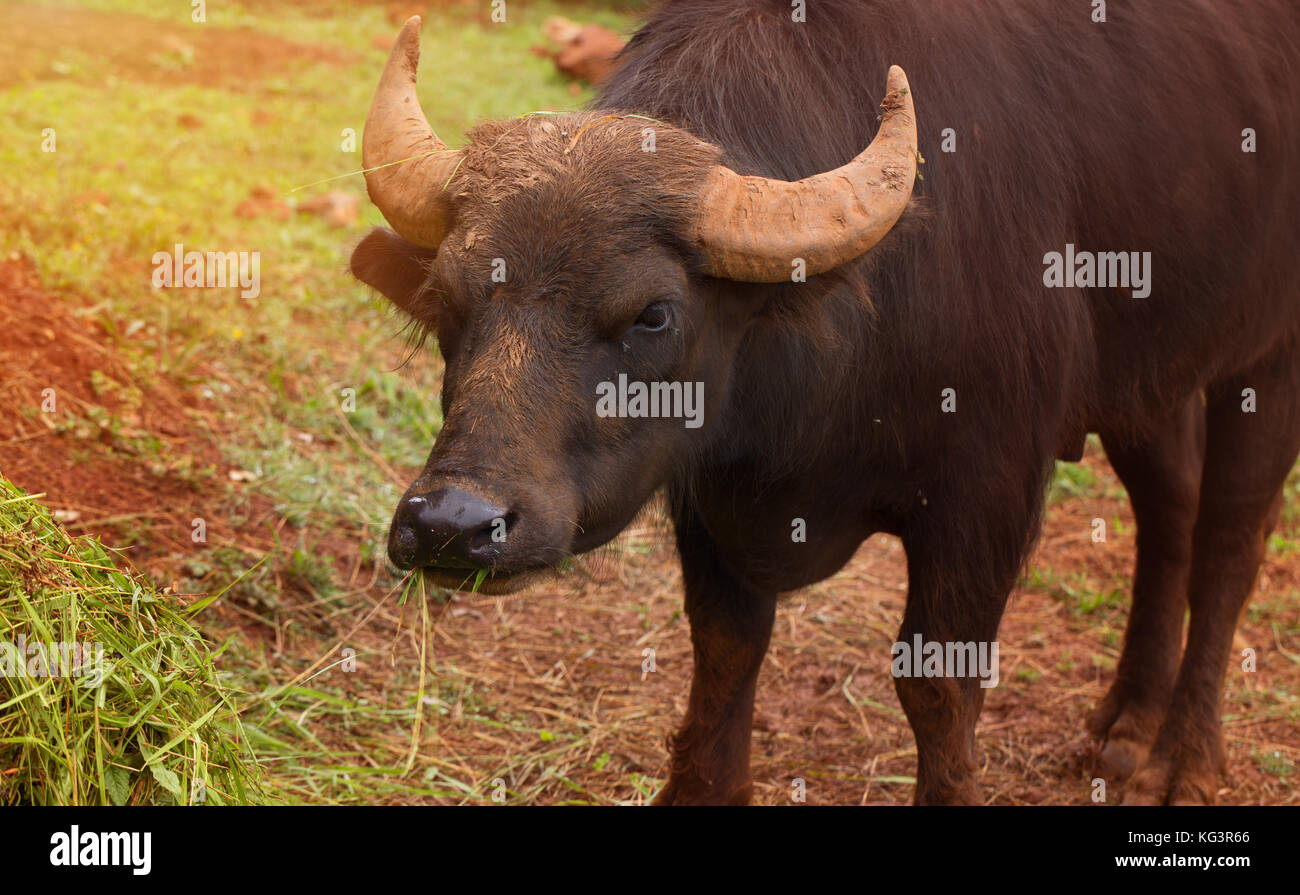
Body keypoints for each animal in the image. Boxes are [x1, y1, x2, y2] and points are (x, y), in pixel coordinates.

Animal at [350, 0, 1300, 804]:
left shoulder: (985, 491)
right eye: (445, 295)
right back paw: (1126, 723)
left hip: (1267, 359)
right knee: (1169, 512)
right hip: (1155, 377)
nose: (453, 525)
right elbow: (726, 646)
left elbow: (938, 684)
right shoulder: (706, 485)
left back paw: (1183, 760)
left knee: (1227, 543)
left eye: (653, 312)